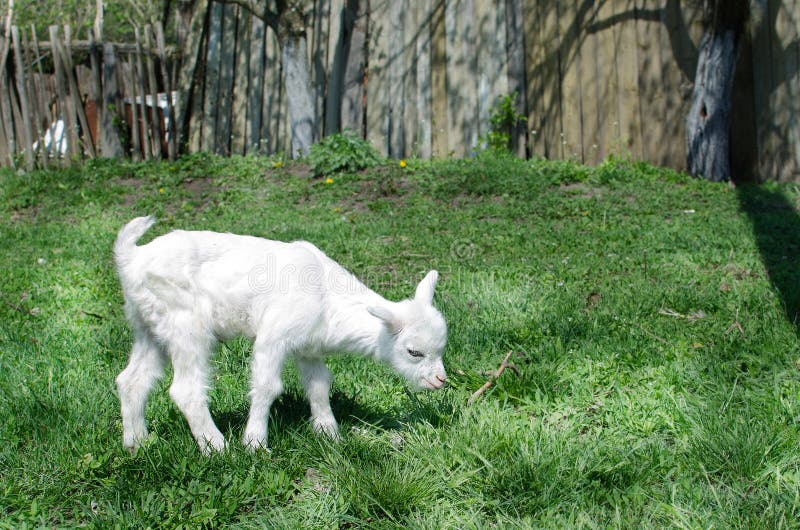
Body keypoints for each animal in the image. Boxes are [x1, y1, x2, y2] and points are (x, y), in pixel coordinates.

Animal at [114, 217, 448, 454]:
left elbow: (319, 385)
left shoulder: (309, 348)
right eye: (414, 352)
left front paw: (329, 434)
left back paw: (136, 443)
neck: (326, 296)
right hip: (185, 324)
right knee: (185, 389)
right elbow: (266, 386)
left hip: (149, 325)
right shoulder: (274, 336)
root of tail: (131, 257)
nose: (440, 381)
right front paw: (255, 445)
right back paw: (217, 448)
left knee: (132, 380)